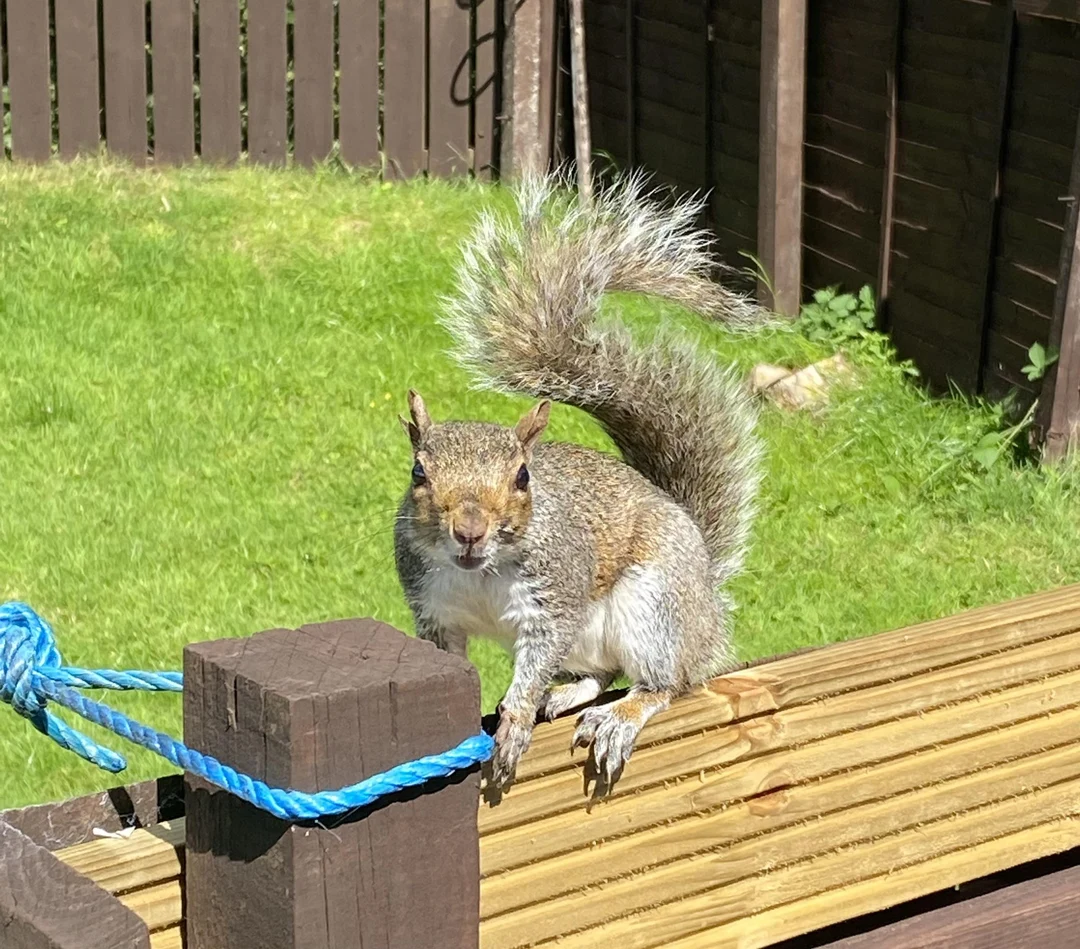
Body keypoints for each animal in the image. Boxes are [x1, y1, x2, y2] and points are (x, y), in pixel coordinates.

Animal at [393, 173, 768, 791]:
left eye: (523, 477)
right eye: (419, 473)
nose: (469, 530)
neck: (477, 574)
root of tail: (707, 596)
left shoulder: (554, 601)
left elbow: (536, 659)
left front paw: (517, 718)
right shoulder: (434, 610)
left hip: (654, 606)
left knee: (663, 680)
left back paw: (619, 715)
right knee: (601, 670)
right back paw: (567, 695)